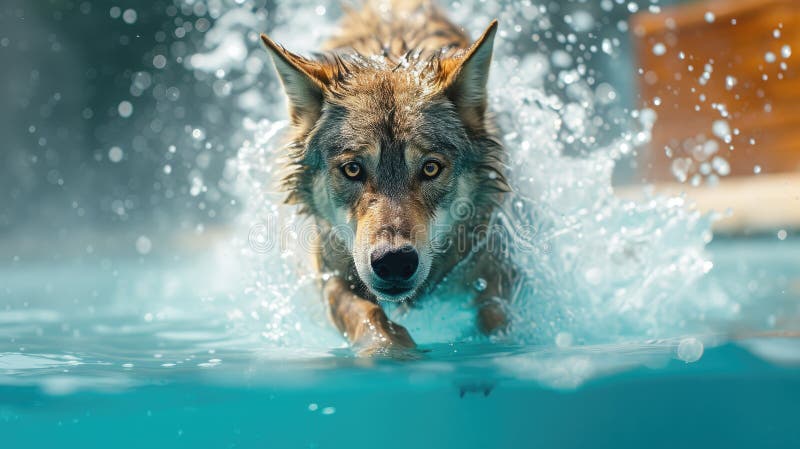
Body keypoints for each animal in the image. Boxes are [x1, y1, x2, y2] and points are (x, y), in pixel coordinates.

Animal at [260, 0, 515, 354]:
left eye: (430, 168)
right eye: (352, 169)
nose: (394, 261)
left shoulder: (496, 267)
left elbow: (495, 315)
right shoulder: (331, 272)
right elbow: (370, 316)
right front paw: (390, 351)